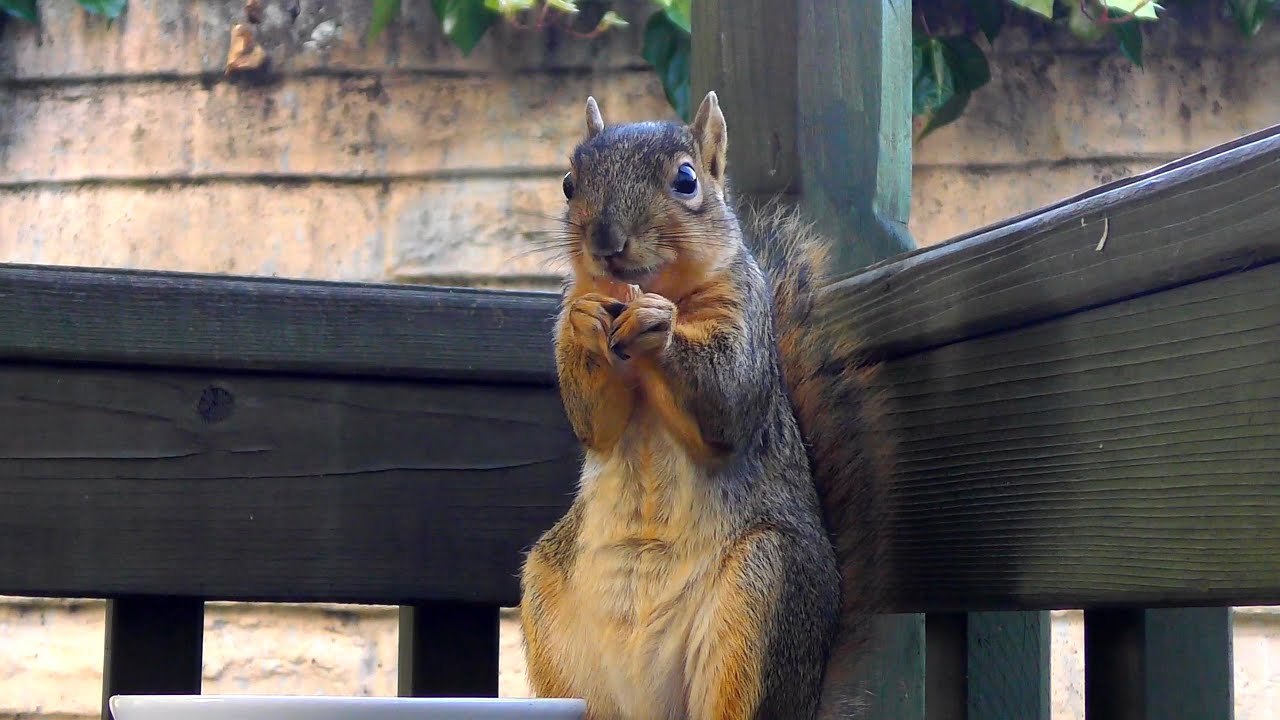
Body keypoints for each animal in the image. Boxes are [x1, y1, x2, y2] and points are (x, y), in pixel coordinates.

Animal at [519, 90, 893, 720]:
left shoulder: (742, 314)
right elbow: (595, 423)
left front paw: (659, 326)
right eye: (570, 183)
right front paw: (585, 325)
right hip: (551, 608)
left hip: (761, 595)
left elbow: (725, 396)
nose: (605, 241)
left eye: (687, 180)